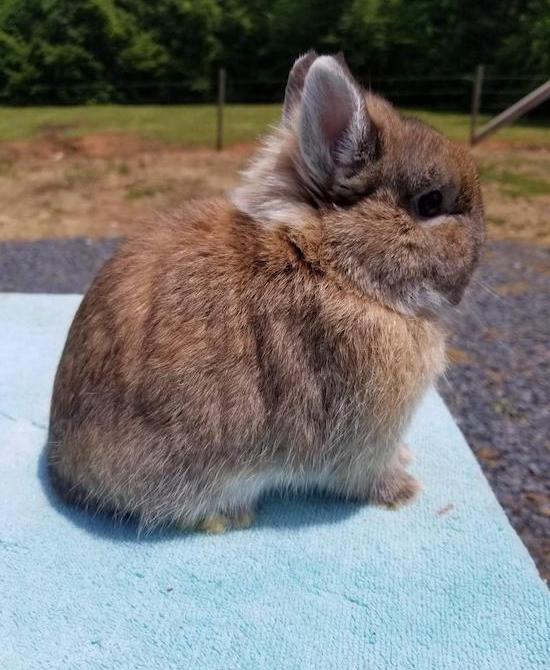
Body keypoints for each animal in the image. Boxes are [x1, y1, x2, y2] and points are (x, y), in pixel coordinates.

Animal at [48, 52, 485, 533]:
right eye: (430, 203)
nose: (477, 258)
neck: (331, 266)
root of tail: (65, 471)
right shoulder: (363, 444)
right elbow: (366, 476)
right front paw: (404, 491)